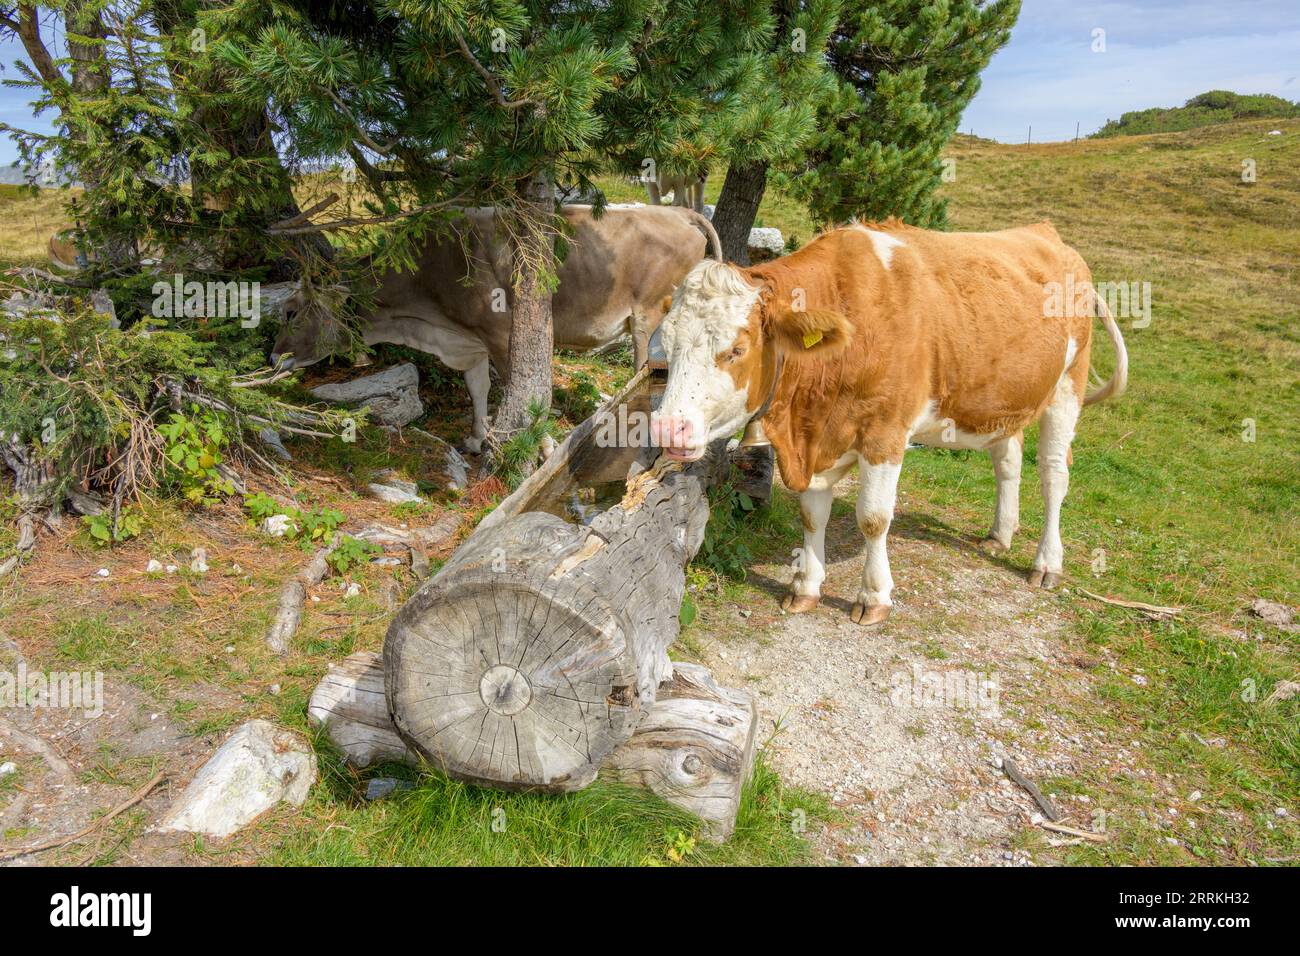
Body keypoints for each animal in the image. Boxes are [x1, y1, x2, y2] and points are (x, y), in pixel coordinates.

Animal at [272, 204, 720, 451]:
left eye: (291, 311)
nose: (274, 355)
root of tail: (678, 211)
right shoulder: (470, 342)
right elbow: (477, 390)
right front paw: (476, 438)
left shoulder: (500, 335)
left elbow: (524, 395)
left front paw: (542, 448)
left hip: (648, 317)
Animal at [648, 219, 1128, 626]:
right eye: (667, 345)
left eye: (736, 349)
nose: (669, 428)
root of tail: (1047, 233)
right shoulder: (818, 439)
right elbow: (811, 515)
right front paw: (805, 587)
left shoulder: (885, 433)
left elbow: (874, 518)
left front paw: (873, 596)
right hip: (1005, 398)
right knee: (1008, 460)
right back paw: (999, 534)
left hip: (1068, 386)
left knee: (1054, 475)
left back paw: (1046, 563)